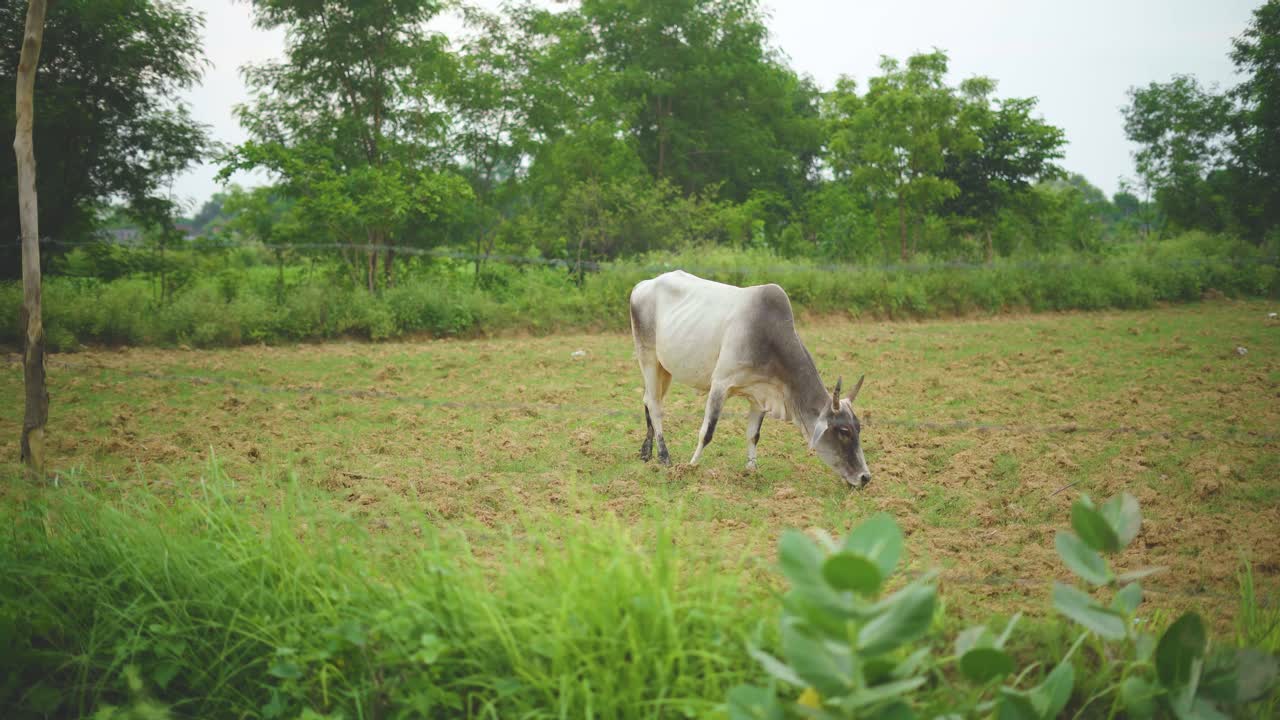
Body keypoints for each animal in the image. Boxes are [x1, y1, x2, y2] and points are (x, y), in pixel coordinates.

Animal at [628, 270, 872, 488]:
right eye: (843, 431)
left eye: (858, 427)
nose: (865, 477)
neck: (767, 337)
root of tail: (643, 284)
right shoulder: (720, 384)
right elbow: (707, 433)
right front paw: (690, 467)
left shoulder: (760, 396)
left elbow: (753, 435)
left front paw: (752, 471)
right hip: (647, 357)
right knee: (655, 405)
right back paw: (664, 457)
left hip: (664, 368)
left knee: (647, 398)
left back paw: (646, 453)